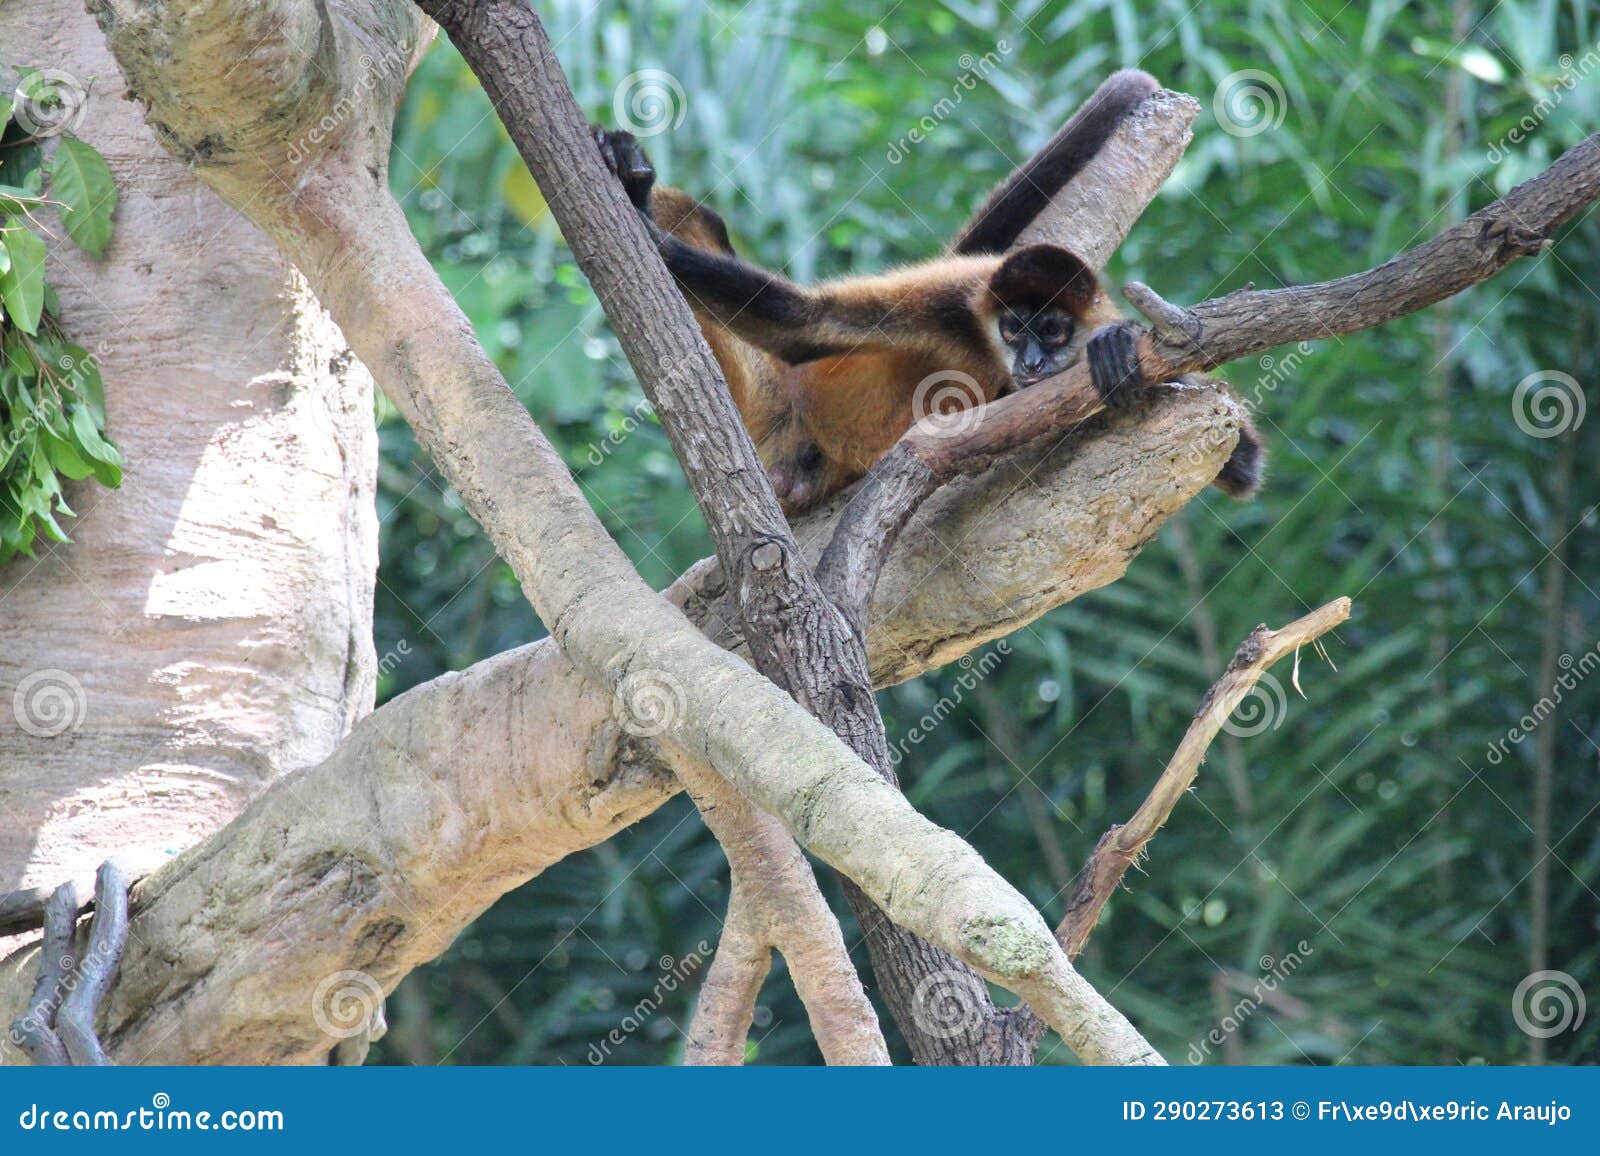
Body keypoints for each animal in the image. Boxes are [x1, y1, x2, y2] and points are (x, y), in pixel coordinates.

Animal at [593, 70, 1263, 512]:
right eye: (1014, 328)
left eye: (1052, 331)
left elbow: (1241, 463)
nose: (1030, 361)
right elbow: (800, 323)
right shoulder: (951, 300)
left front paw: (1115, 350)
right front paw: (646, 226)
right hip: (776, 404)